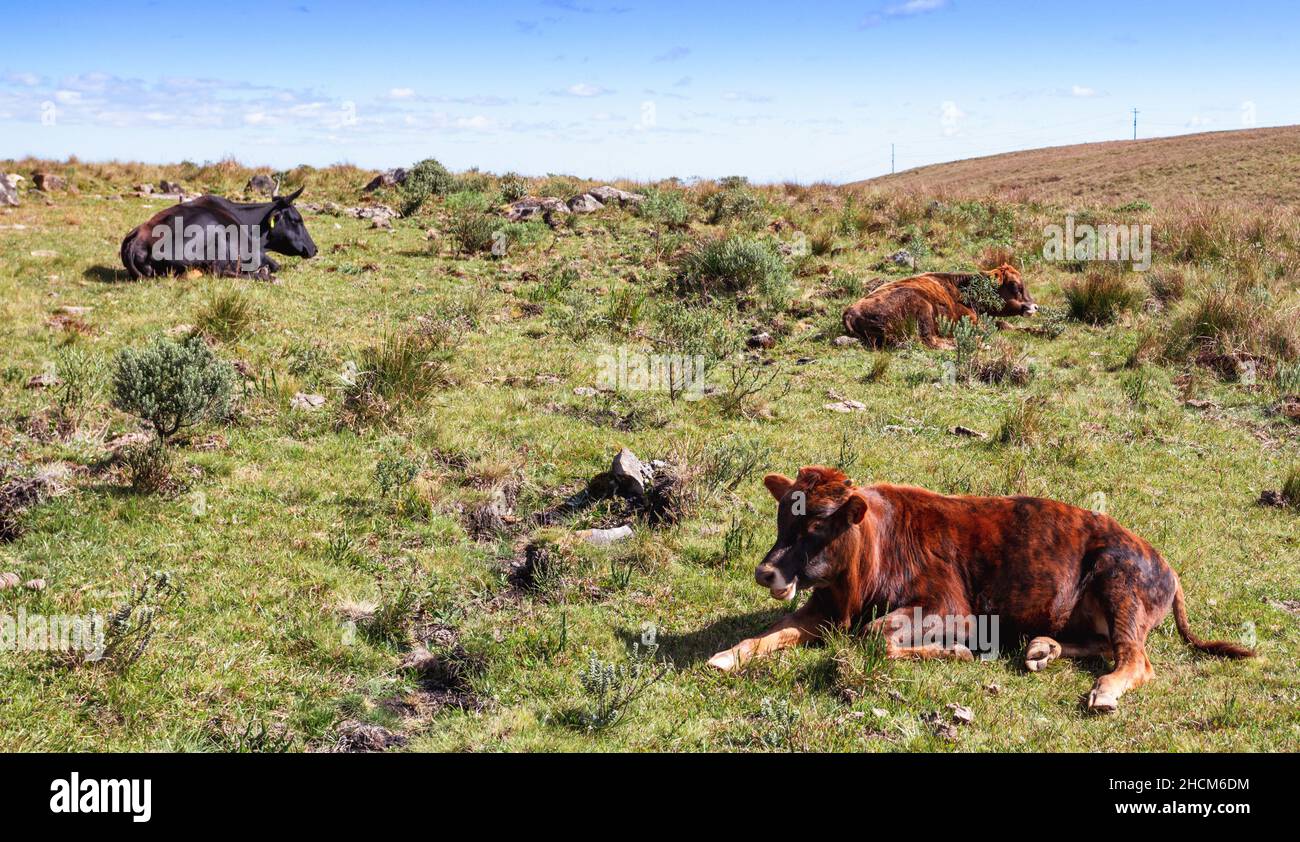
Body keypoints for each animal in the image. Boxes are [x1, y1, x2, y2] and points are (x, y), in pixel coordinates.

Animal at [707, 466, 1253, 713]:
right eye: (782, 521)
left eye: (818, 525)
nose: (765, 572)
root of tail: (1163, 561)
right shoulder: (820, 610)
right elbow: (771, 632)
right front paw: (725, 656)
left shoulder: (953, 609)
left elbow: (876, 637)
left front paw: (956, 653)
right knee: (1102, 645)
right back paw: (1041, 648)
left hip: (1121, 586)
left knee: (1135, 658)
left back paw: (1102, 691)